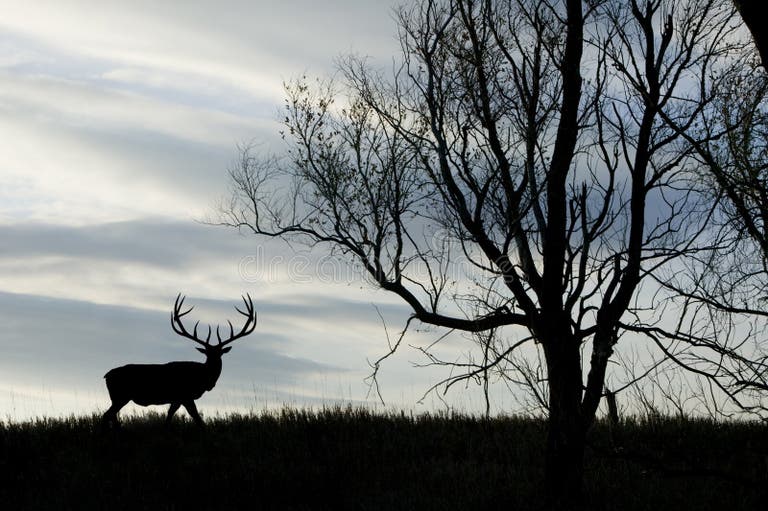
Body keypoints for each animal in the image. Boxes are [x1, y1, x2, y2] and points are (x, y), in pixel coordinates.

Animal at [101, 294, 256, 429]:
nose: (214, 363)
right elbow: (196, 417)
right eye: (207, 354)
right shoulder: (185, 395)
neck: (202, 378)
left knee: (111, 416)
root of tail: (106, 375)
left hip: (117, 397)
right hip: (121, 396)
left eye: (220, 354)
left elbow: (170, 415)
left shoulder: (178, 398)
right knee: (106, 416)